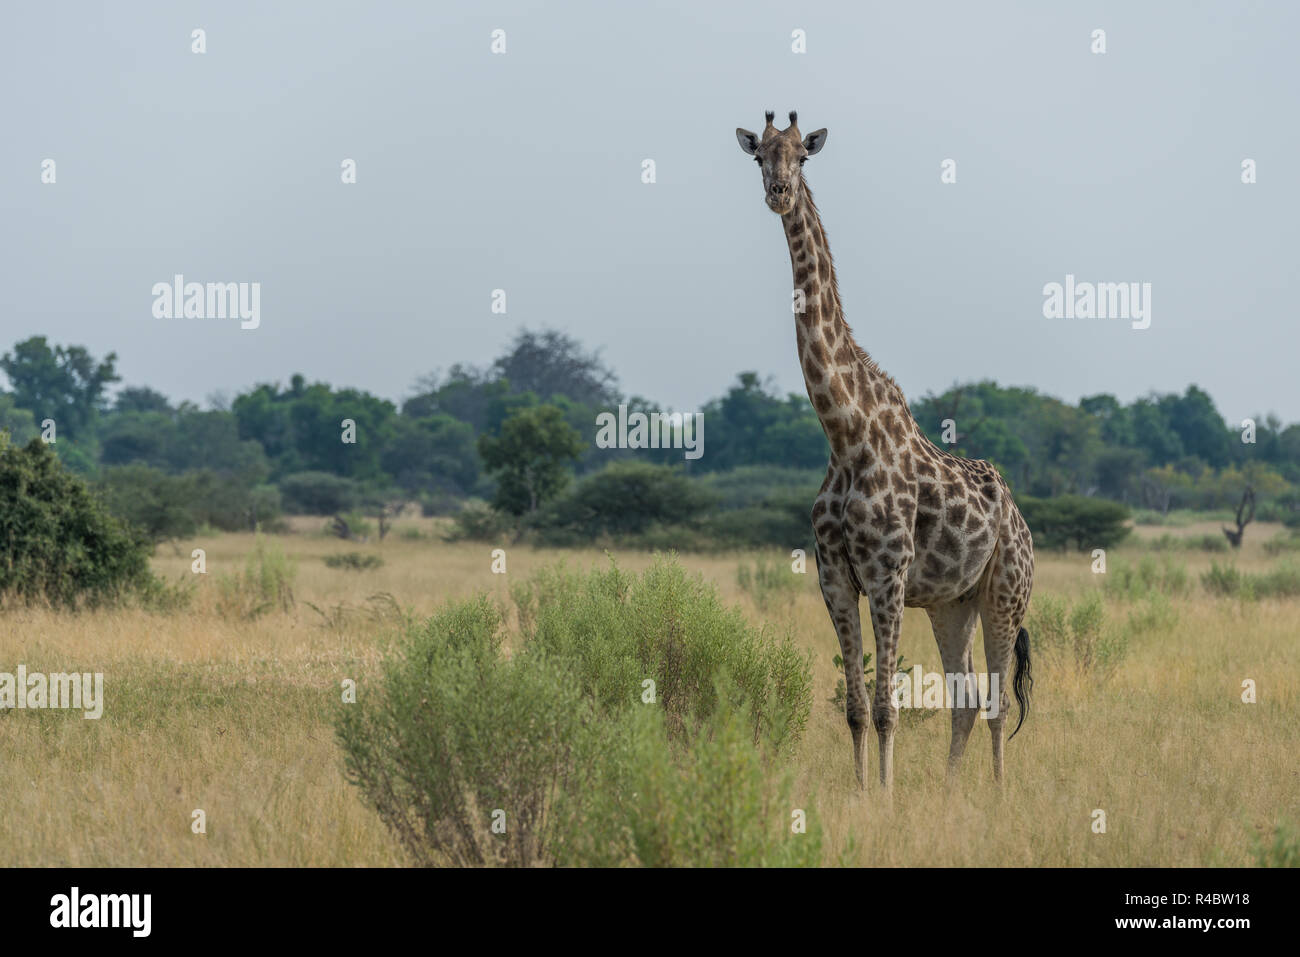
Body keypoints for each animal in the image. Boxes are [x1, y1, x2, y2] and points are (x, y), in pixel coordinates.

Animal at [735, 111, 1035, 789]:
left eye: (802, 156)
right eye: (759, 155)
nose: (779, 193)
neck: (845, 432)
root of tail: (1021, 520)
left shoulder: (887, 575)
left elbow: (885, 707)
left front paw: (888, 798)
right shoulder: (835, 578)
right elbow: (853, 707)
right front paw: (861, 794)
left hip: (1006, 591)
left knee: (999, 702)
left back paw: (1001, 794)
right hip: (954, 603)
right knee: (965, 699)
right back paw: (951, 795)